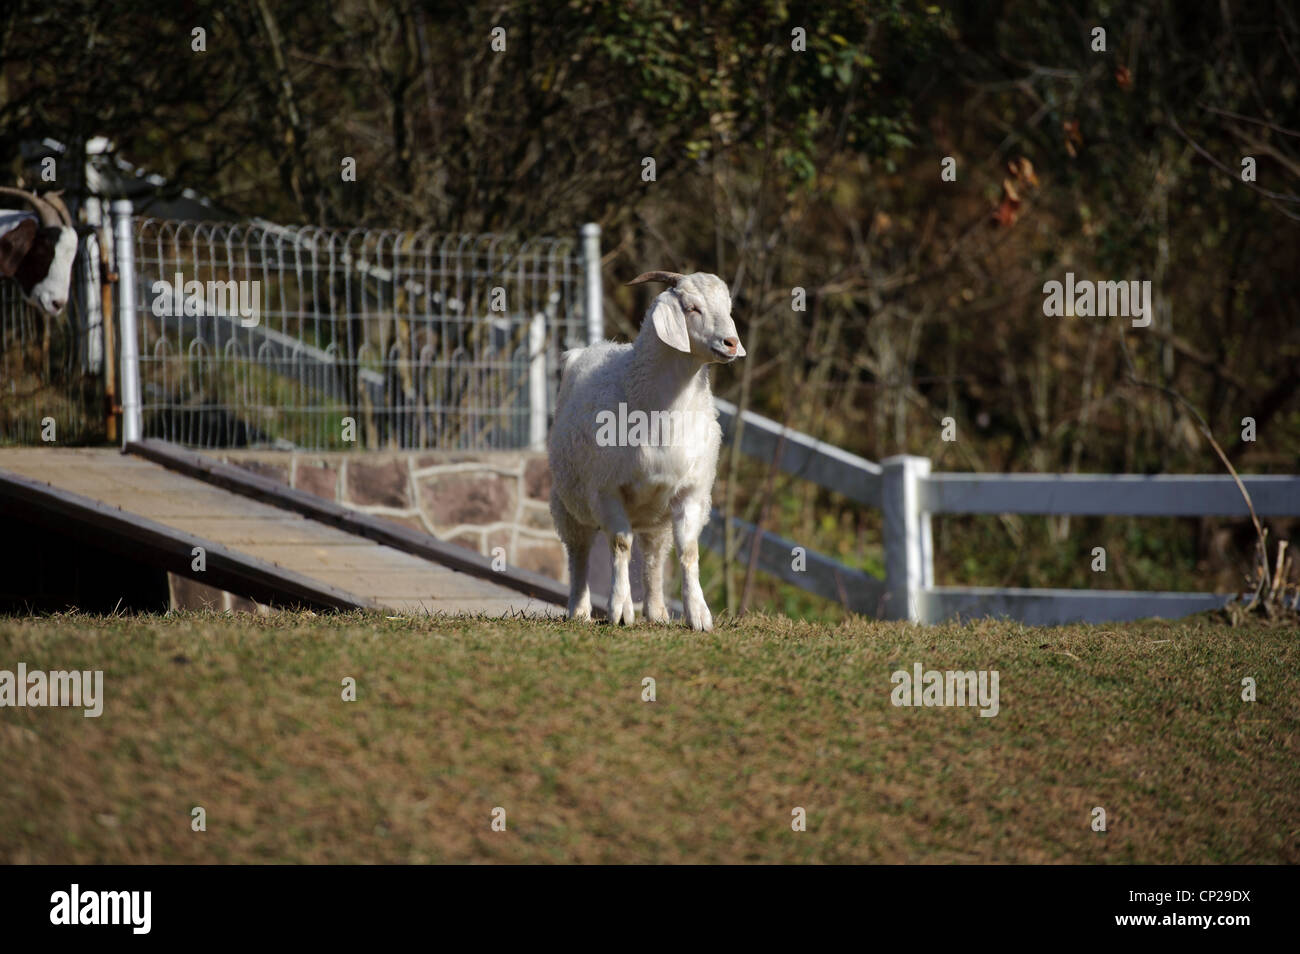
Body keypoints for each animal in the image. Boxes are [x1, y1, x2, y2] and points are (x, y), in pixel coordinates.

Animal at [548, 270, 745, 631]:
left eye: (728, 308)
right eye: (692, 307)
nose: (731, 343)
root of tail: (594, 348)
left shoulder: (691, 493)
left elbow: (689, 551)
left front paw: (699, 615)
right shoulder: (607, 490)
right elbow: (620, 544)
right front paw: (618, 610)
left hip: (656, 516)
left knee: (653, 556)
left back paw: (657, 611)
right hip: (568, 503)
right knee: (580, 552)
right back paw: (581, 609)